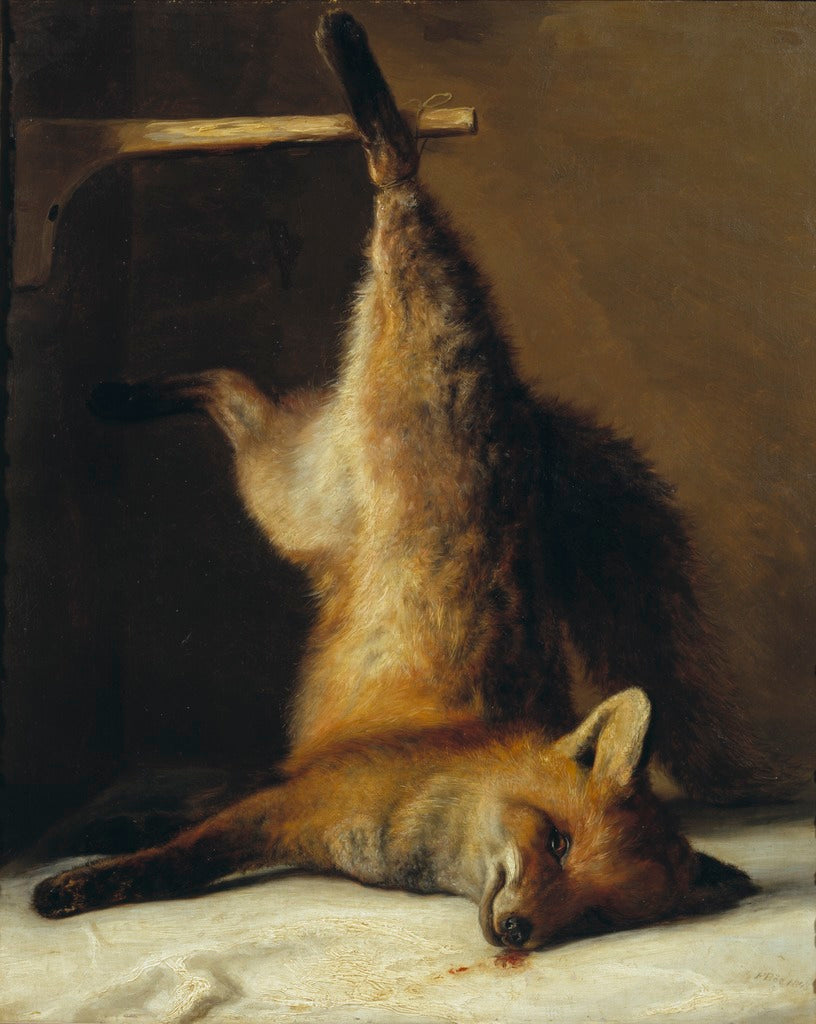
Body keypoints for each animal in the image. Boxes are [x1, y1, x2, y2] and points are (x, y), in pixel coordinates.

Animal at [33, 11, 779, 943]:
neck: (422, 816)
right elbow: (175, 856)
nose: (518, 933)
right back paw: (352, 63)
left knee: (240, 386)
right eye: (558, 842)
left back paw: (124, 393)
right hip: (297, 473)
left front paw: (103, 838)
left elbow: (187, 817)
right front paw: (84, 877)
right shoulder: (290, 800)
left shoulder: (281, 785)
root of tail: (518, 405)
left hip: (291, 483)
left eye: (601, 912)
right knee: (390, 189)